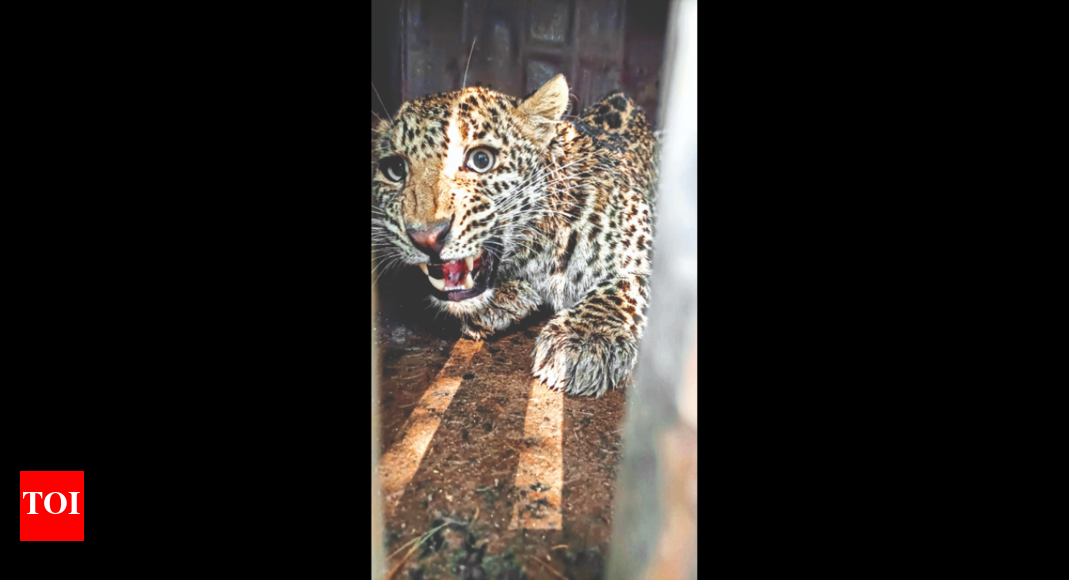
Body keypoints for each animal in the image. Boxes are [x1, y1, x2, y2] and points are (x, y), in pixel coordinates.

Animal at [372, 75, 656, 397]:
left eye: (481, 160)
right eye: (395, 170)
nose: (426, 237)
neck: (537, 250)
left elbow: (626, 285)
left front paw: (586, 337)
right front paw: (505, 298)